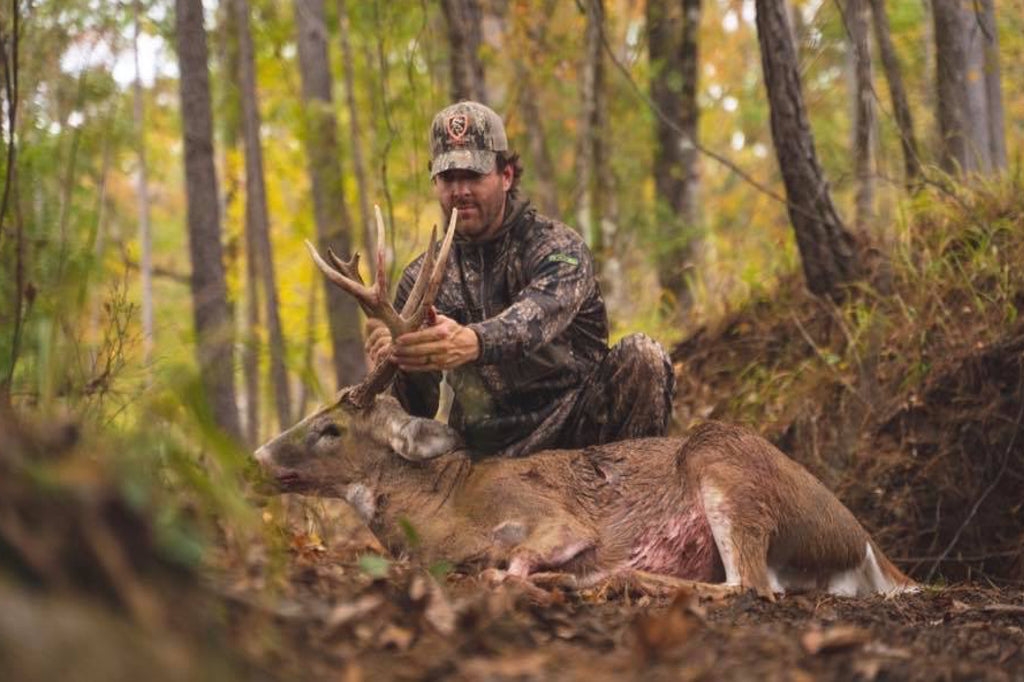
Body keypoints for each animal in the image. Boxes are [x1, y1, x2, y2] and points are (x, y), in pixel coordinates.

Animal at [254, 206, 916, 600]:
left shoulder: (551, 520)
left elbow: (510, 563)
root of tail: (866, 542)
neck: (439, 508)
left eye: (331, 427)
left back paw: (625, 576)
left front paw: (551, 574)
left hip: (728, 467)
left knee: (750, 586)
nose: (258, 457)